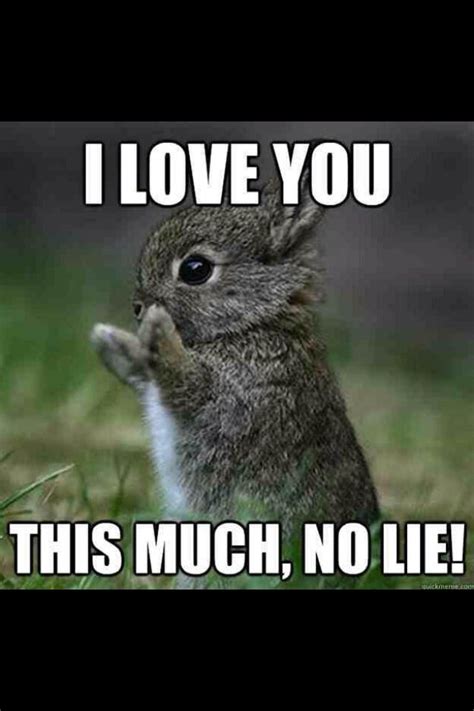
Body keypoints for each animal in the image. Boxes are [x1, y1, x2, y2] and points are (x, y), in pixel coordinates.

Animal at [91, 169, 379, 542]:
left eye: (195, 269)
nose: (139, 307)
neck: (253, 324)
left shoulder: (233, 393)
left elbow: (185, 381)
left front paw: (158, 329)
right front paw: (110, 340)